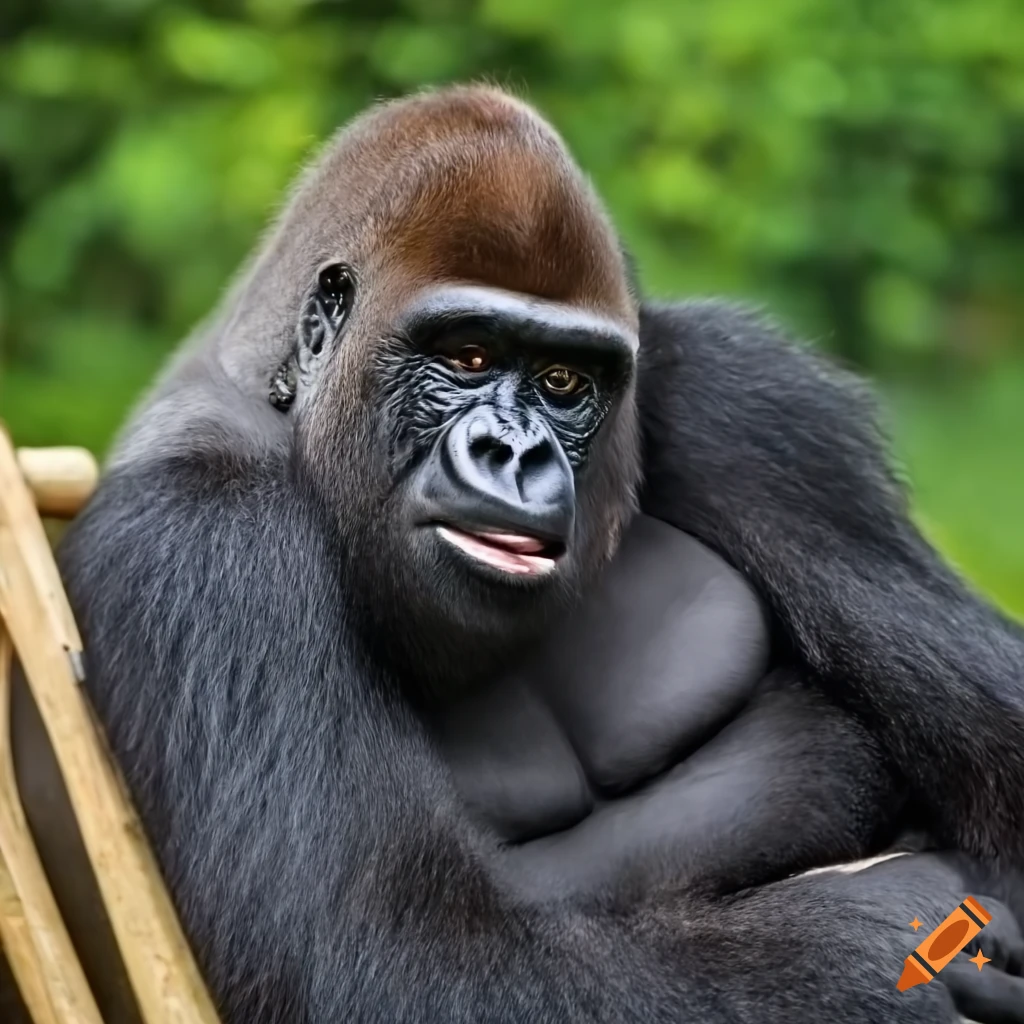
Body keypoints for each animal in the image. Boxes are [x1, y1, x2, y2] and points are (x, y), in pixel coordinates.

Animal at [6, 85, 1024, 1024]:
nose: (515, 452)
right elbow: (402, 964)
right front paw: (889, 941)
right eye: (464, 357)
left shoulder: (754, 403)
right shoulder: (204, 539)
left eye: (565, 381)